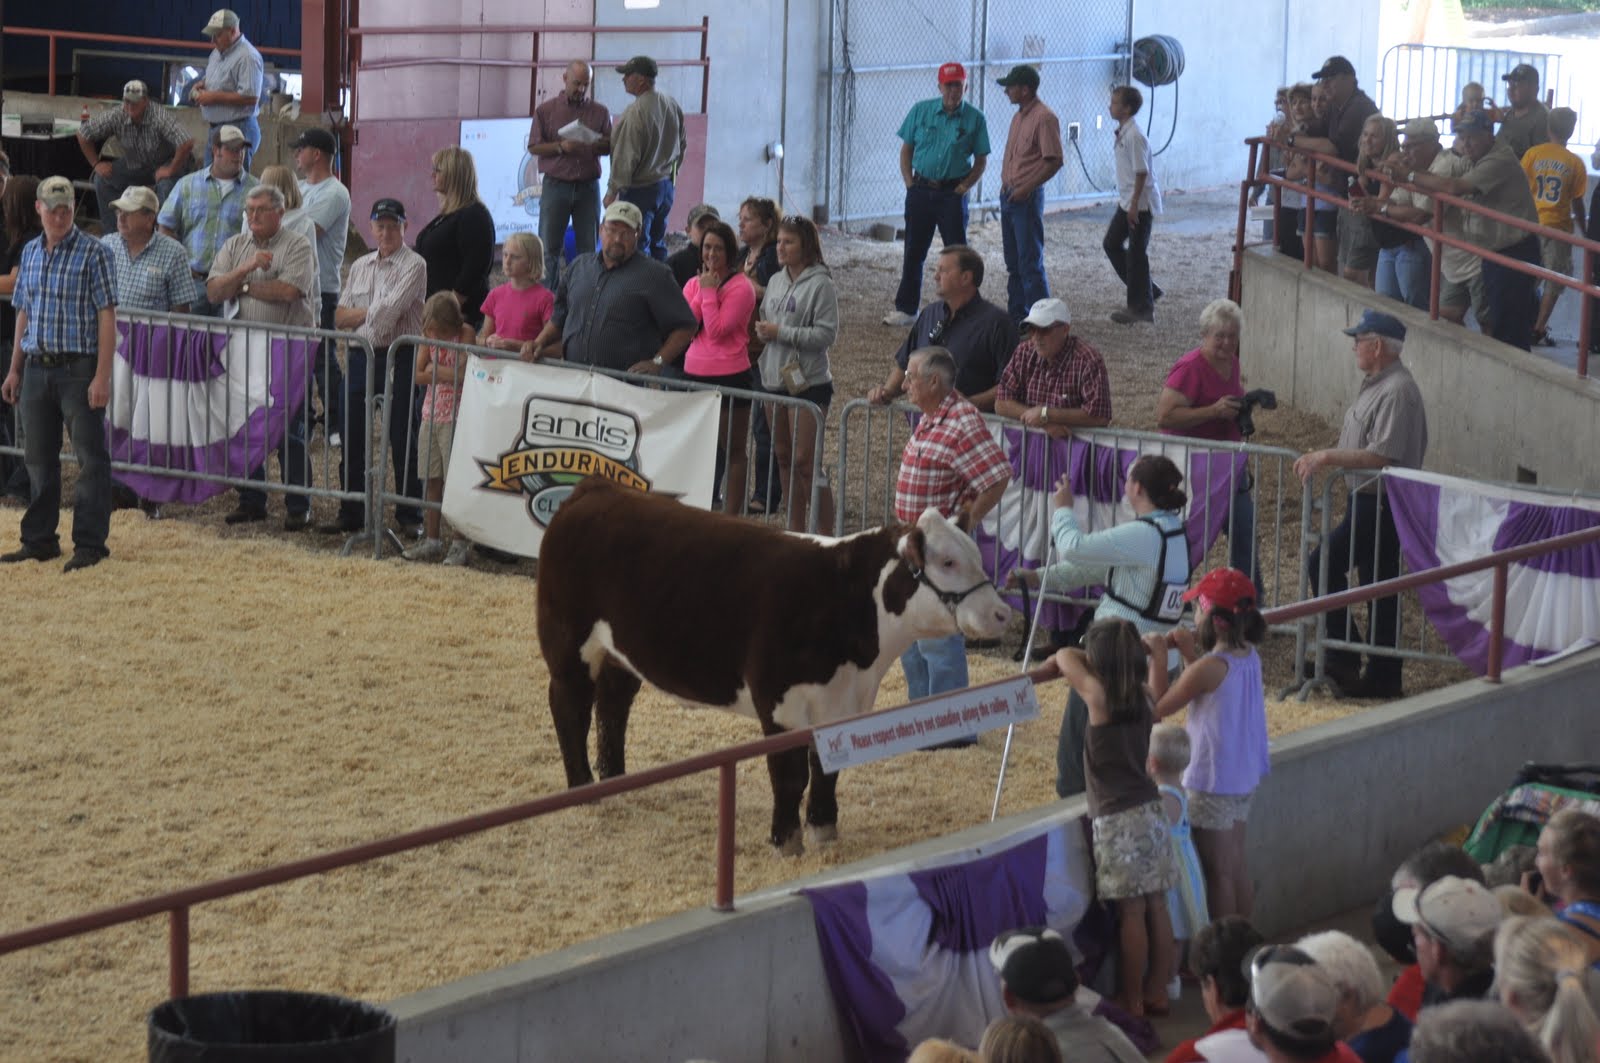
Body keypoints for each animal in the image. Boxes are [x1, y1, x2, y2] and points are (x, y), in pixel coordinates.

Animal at [535, 476, 1013, 855]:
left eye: (976, 555)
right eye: (947, 562)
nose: (1003, 614)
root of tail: (598, 488)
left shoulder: (842, 705)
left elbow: (827, 770)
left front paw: (824, 829)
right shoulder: (781, 703)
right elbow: (789, 775)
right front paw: (787, 841)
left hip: (621, 651)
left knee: (613, 706)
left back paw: (616, 781)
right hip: (568, 641)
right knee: (569, 705)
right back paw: (583, 790)